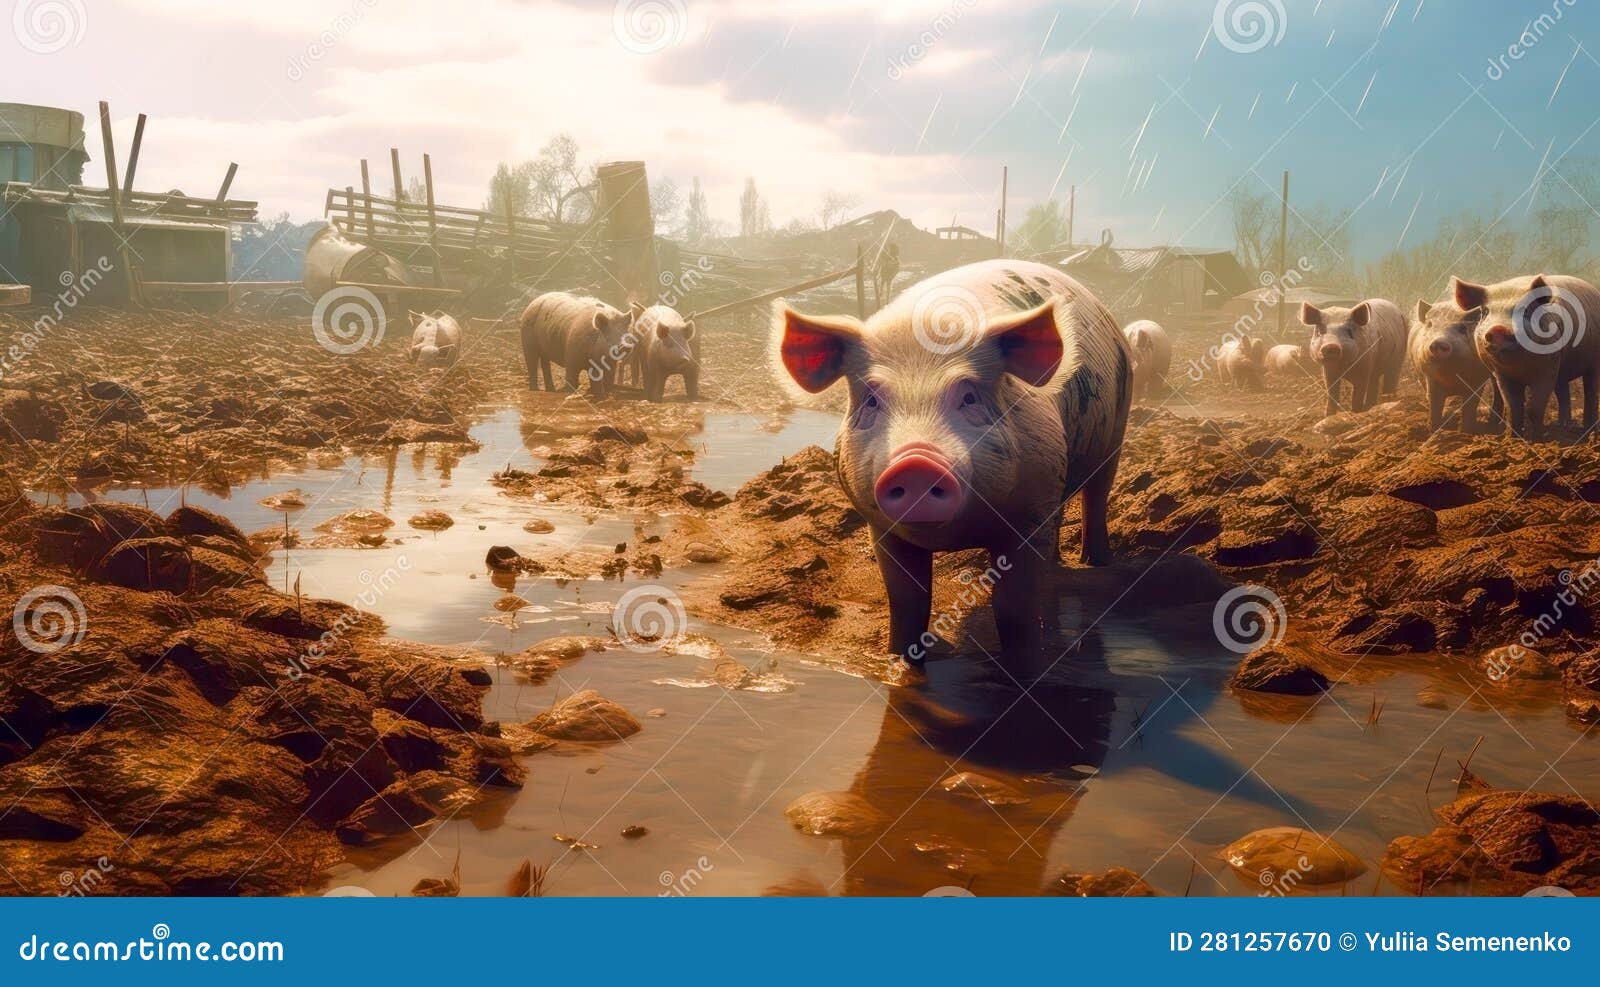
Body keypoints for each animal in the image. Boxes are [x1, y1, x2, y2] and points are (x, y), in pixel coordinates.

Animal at [772, 259, 1131, 661]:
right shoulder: (881, 527)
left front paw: (1024, 662)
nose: (916, 464)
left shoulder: (1031, 510)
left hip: (1117, 427)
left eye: (969, 397)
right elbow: (907, 600)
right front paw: (899, 657)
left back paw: (1096, 562)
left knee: (1096, 496)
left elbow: (1013, 604)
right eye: (872, 401)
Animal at [1410, 298, 1503, 433]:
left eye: (1462, 328)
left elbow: (1471, 404)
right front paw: (1434, 429)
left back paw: (1492, 424)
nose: (1438, 342)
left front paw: (1467, 430)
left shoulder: (1478, 379)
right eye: (1430, 324)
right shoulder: (1429, 377)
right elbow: (1434, 402)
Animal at [1457, 274, 1600, 439]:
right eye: (1486, 311)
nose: (1498, 328)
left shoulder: (1548, 368)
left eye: (1525, 310)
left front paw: (1536, 439)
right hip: (1561, 372)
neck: (1519, 367)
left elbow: (1534, 406)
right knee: (1563, 393)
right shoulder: (1501, 373)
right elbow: (1513, 405)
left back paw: (1589, 432)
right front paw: (1511, 438)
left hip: (1594, 361)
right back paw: (1563, 427)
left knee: (1591, 393)